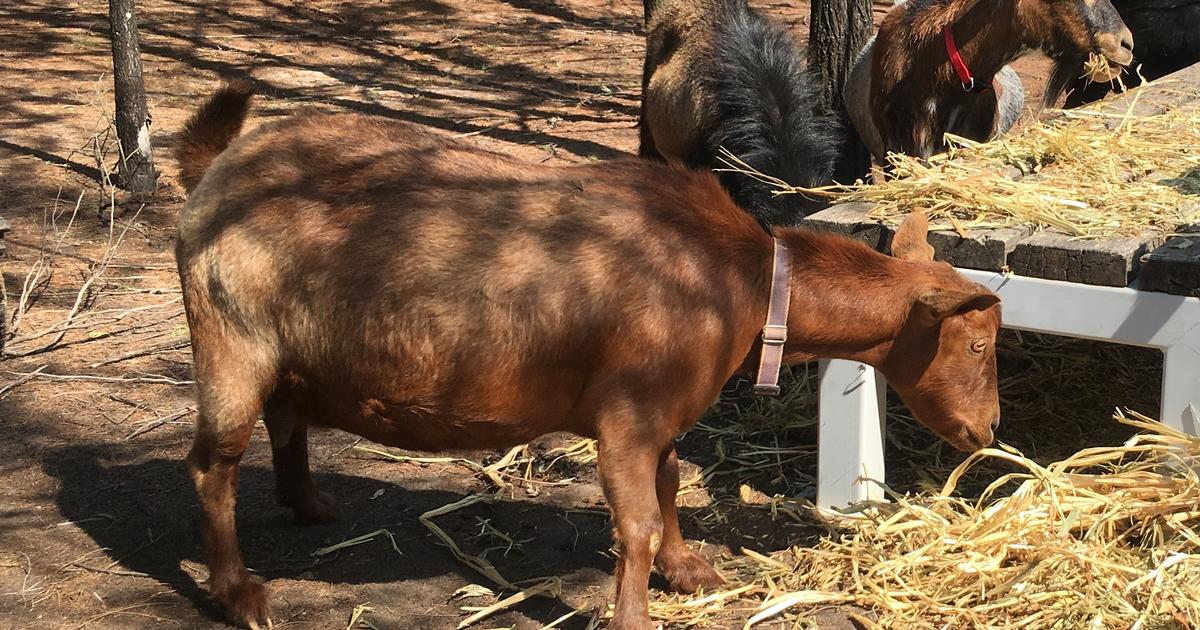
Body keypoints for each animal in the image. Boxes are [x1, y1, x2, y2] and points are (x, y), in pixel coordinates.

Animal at [175, 83, 1002, 630]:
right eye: (977, 341)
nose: (987, 431)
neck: (738, 279)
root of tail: (220, 166)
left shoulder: (664, 414)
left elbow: (669, 486)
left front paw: (690, 570)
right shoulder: (627, 417)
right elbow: (635, 523)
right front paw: (635, 613)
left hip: (285, 355)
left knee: (285, 418)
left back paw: (308, 502)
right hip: (230, 339)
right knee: (212, 465)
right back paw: (239, 592)